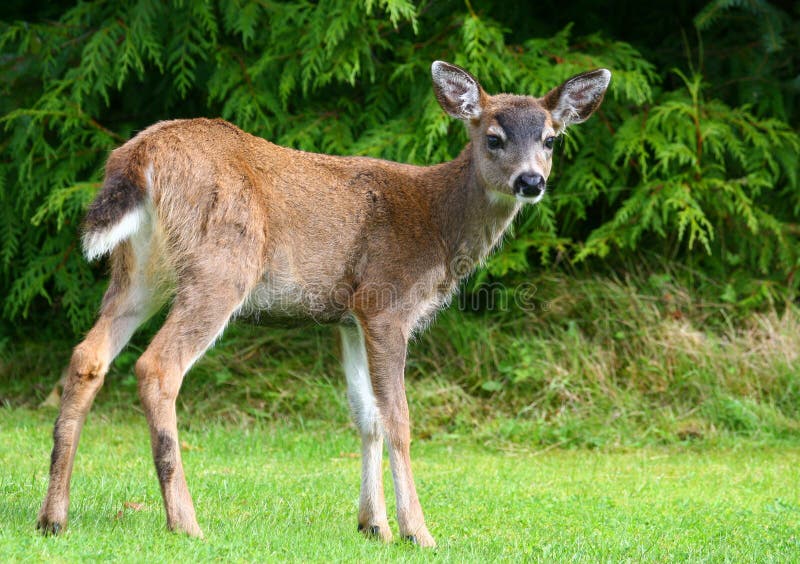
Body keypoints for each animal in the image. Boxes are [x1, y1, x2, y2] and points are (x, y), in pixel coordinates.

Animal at [37, 61, 610, 547]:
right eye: (493, 137)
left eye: (551, 139)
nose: (531, 181)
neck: (436, 225)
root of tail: (139, 157)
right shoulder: (385, 302)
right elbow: (399, 418)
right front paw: (416, 531)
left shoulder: (350, 316)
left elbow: (366, 415)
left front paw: (373, 525)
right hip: (222, 262)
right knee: (157, 366)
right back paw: (186, 523)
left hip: (140, 269)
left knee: (87, 356)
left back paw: (53, 517)